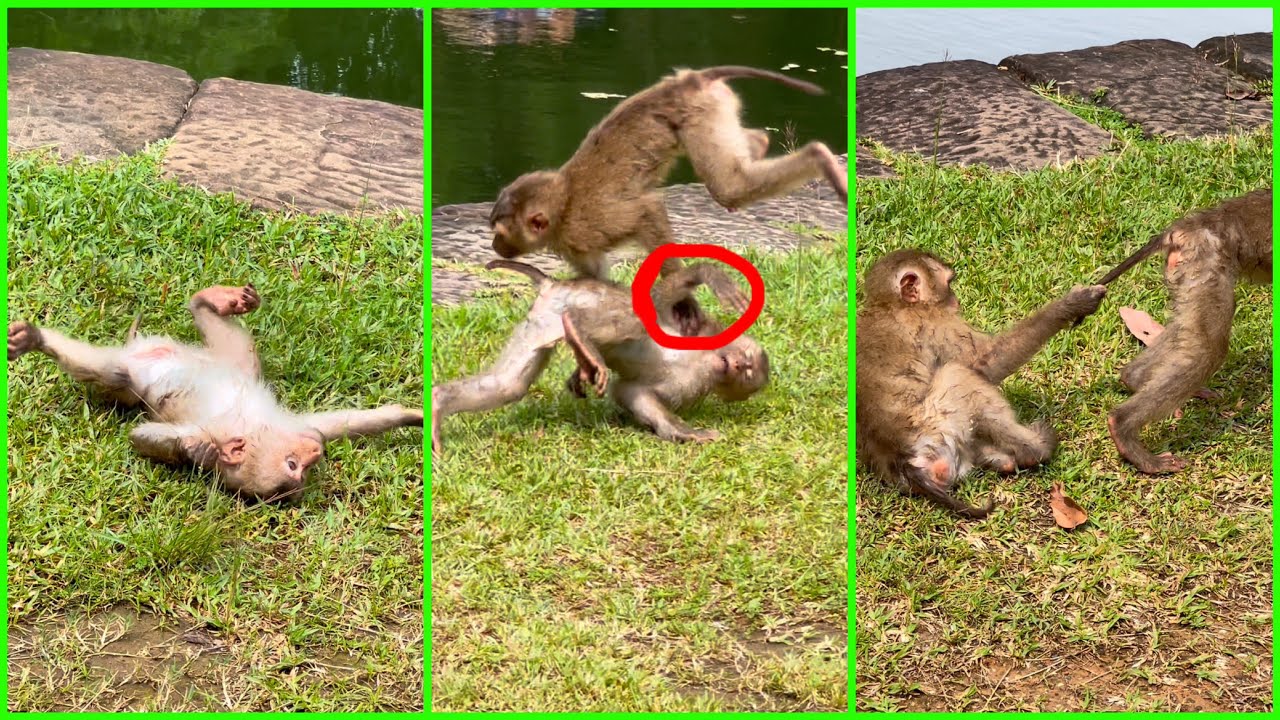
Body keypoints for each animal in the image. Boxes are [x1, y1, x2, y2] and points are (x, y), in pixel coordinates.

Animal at [8, 284, 423, 502]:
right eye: (294, 467)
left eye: (305, 469)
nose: (314, 454)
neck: (249, 428)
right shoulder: (219, 429)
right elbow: (144, 436)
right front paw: (198, 453)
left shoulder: (295, 427)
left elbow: (336, 424)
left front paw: (412, 416)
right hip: (132, 375)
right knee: (111, 372)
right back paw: (37, 340)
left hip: (223, 358)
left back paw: (207, 303)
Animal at [431, 260, 769, 455]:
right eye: (746, 362)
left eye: (748, 374)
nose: (739, 365)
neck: (705, 358)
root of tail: (557, 285)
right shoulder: (697, 328)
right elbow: (661, 298)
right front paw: (711, 275)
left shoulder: (692, 385)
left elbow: (634, 392)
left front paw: (679, 432)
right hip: (585, 299)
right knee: (636, 316)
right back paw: (580, 331)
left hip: (543, 320)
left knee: (508, 385)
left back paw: (437, 403)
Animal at [488, 65, 848, 329]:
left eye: (501, 231)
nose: (495, 245)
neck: (562, 210)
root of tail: (686, 80)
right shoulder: (576, 245)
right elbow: (597, 281)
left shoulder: (585, 226)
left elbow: (647, 210)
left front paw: (684, 293)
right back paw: (759, 142)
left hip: (701, 111)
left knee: (728, 188)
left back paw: (819, 156)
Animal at [855, 249, 1107, 518]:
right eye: (949, 283)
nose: (956, 301)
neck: (890, 305)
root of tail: (905, 463)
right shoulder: (936, 321)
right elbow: (986, 361)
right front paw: (1071, 304)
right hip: (939, 427)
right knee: (958, 374)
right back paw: (1034, 450)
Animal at [1092, 188, 1271, 474]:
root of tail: (1189, 227)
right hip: (1204, 267)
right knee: (1210, 346)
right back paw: (1124, 431)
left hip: (1187, 274)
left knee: (1187, 329)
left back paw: (1135, 377)